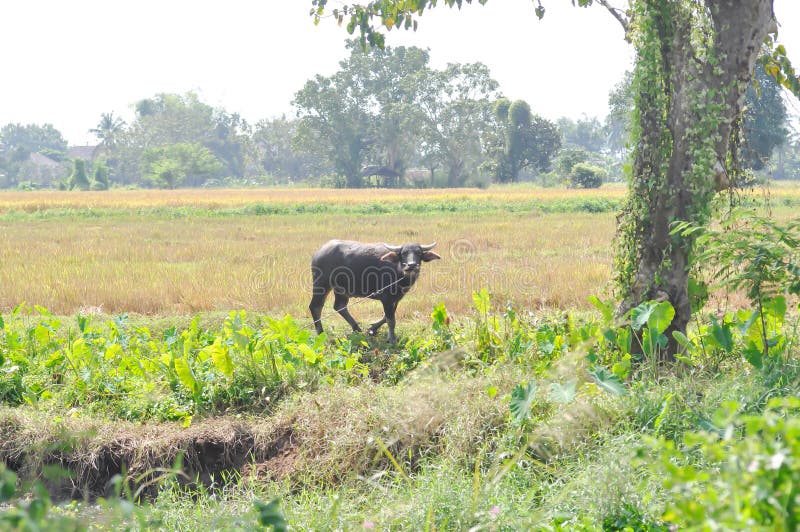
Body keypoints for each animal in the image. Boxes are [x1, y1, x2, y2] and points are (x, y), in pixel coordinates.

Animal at [309, 240, 441, 344]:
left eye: (419, 253)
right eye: (403, 253)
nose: (411, 265)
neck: (399, 272)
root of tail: (318, 253)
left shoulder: (396, 298)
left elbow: (387, 316)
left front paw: (372, 329)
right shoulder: (386, 298)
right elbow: (391, 320)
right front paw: (392, 339)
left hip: (341, 290)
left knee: (340, 306)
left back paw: (357, 329)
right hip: (321, 285)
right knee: (315, 307)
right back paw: (320, 333)